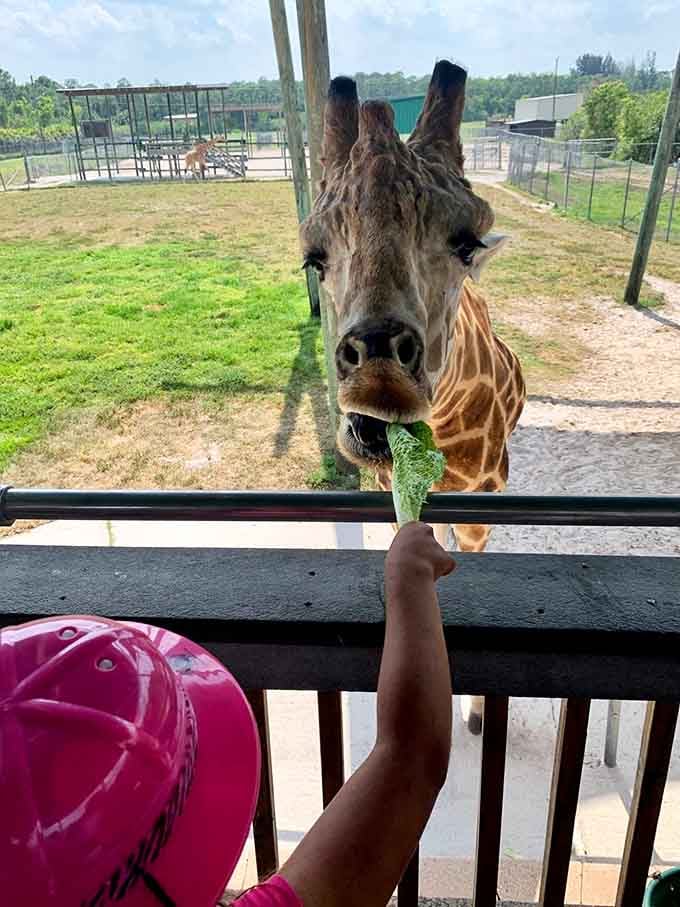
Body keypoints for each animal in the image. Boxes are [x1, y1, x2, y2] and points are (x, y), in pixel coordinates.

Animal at [300, 60, 526, 734]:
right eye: (313, 259)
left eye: (466, 242)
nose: (380, 384)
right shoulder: (388, 485)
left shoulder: (486, 498)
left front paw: (476, 714)